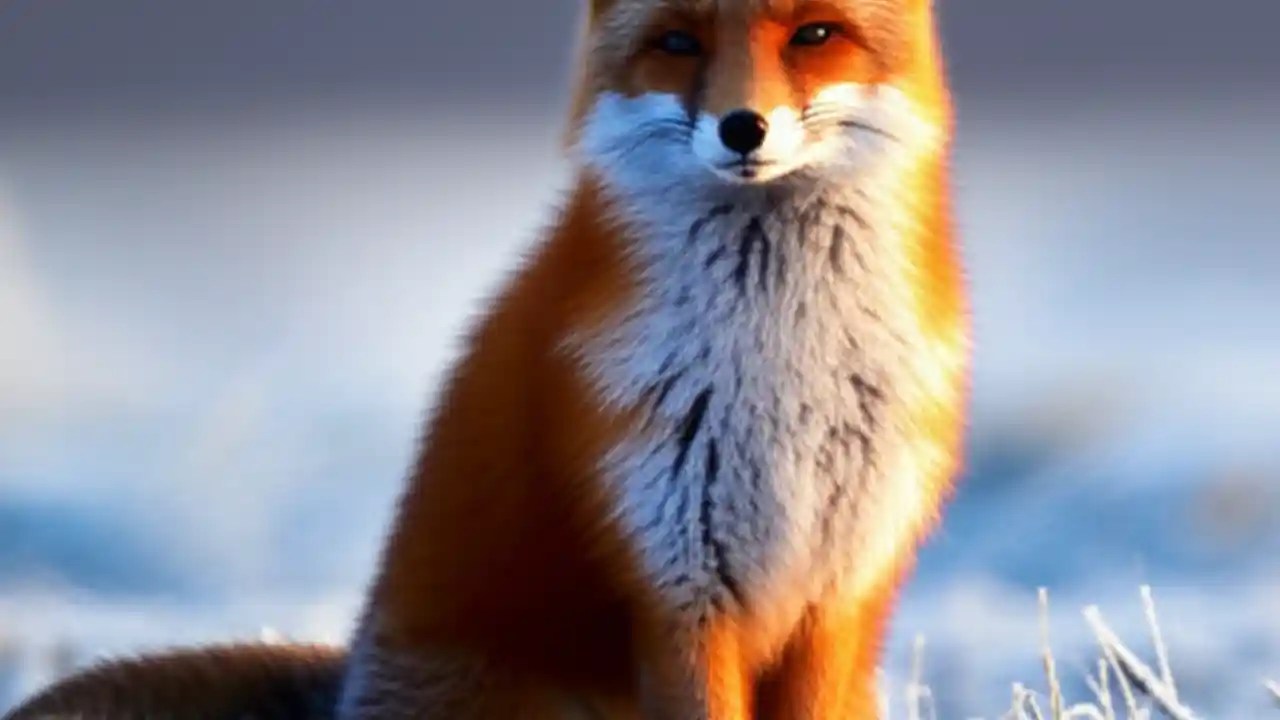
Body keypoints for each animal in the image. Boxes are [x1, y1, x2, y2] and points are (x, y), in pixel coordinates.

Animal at [5, 0, 967, 717]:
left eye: (814, 34)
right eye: (677, 41)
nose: (742, 127)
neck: (778, 383)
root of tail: (347, 687)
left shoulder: (836, 596)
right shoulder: (677, 585)